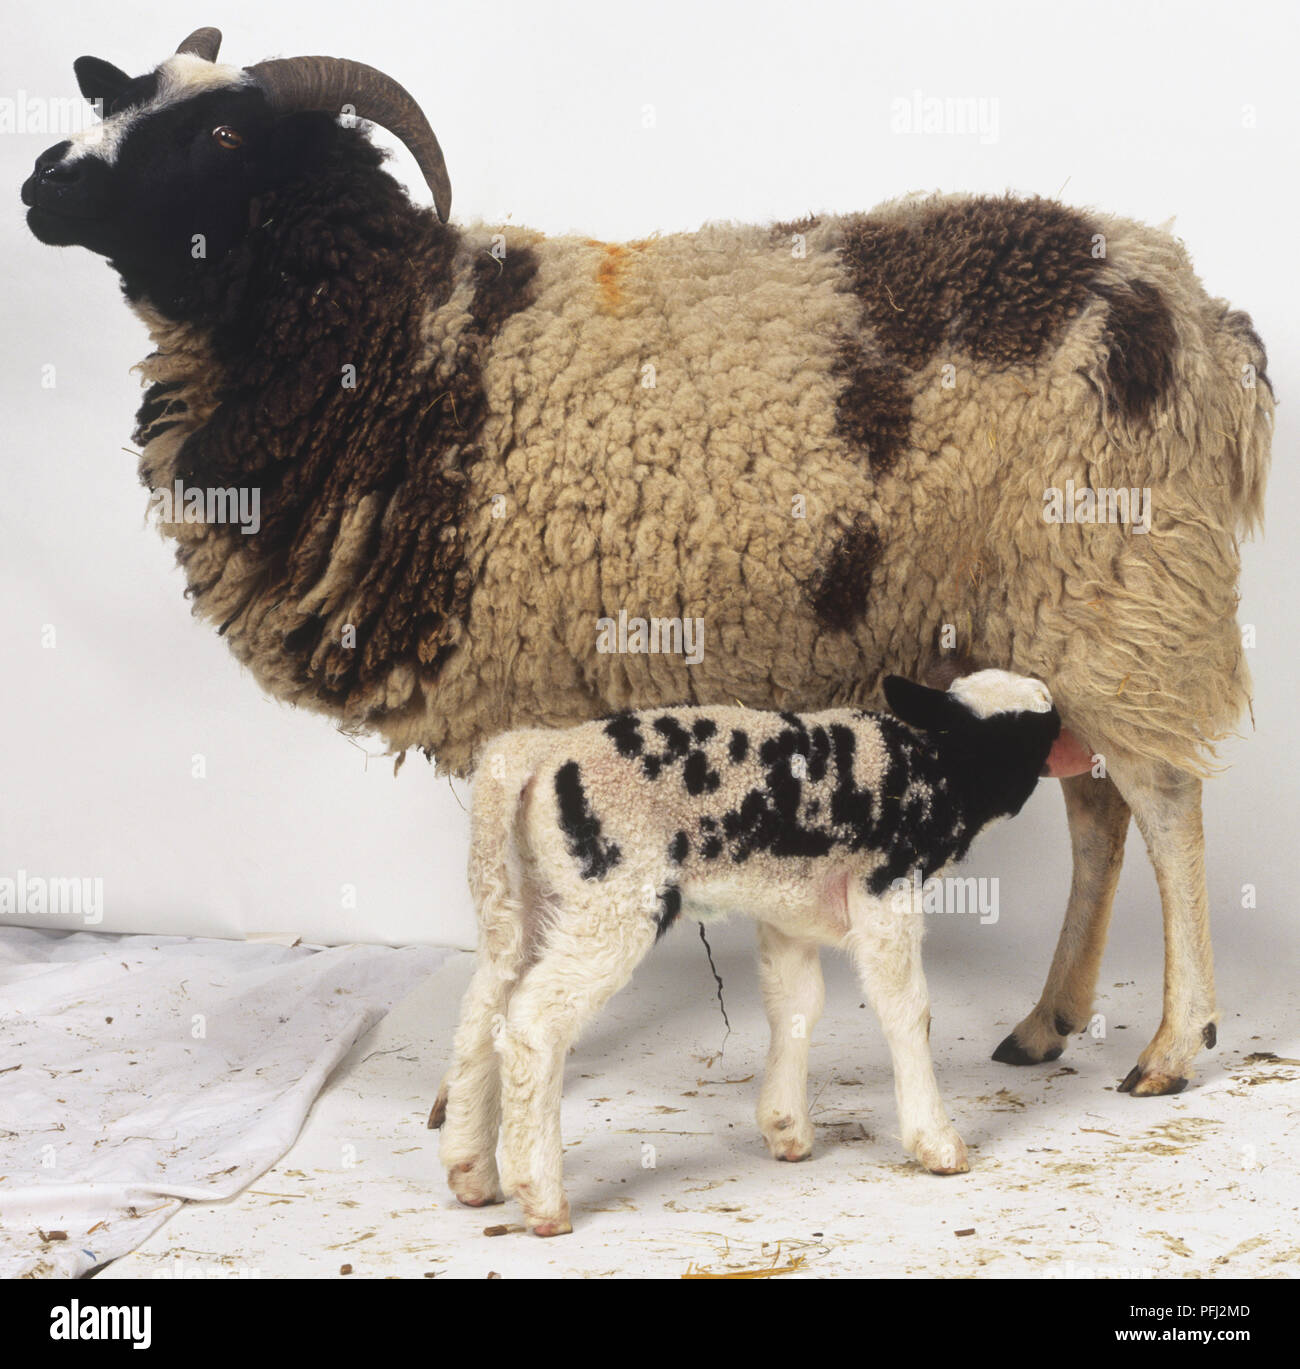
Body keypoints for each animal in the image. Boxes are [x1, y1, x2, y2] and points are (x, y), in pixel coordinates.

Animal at [21, 27, 1273, 1097]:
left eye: (227, 135)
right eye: (118, 98)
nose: (41, 181)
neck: (403, 342)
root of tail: (1201, 314)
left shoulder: (513, 692)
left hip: (1116, 578)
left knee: (1161, 800)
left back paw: (1172, 1044)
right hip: (1054, 608)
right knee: (1098, 807)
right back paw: (1046, 1022)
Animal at [432, 670, 1062, 1235]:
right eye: (1029, 729)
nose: (1067, 733)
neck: (929, 768)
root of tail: (542, 748)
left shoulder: (790, 907)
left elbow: (796, 1005)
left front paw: (786, 1127)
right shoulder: (886, 892)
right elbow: (908, 1012)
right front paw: (937, 1143)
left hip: (531, 898)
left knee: (483, 1009)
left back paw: (471, 1171)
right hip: (612, 904)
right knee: (533, 1025)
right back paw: (541, 1197)